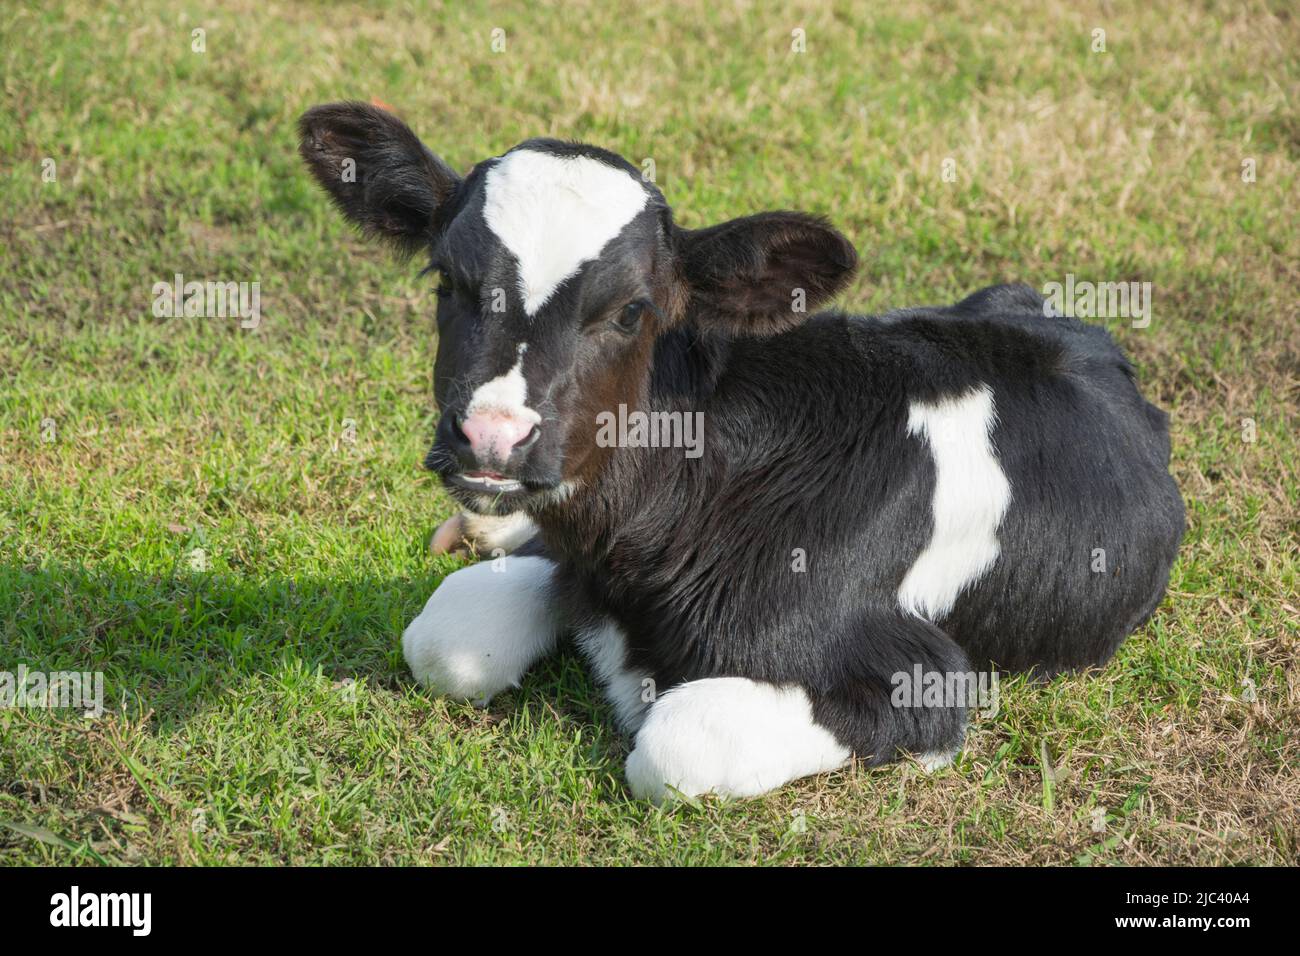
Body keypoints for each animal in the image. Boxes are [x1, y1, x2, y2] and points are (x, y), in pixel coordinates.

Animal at [298, 102, 1185, 803]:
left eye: (632, 310)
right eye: (445, 280)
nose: (492, 438)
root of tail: (1084, 333)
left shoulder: (925, 675)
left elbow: (674, 745)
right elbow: (446, 640)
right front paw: (493, 538)